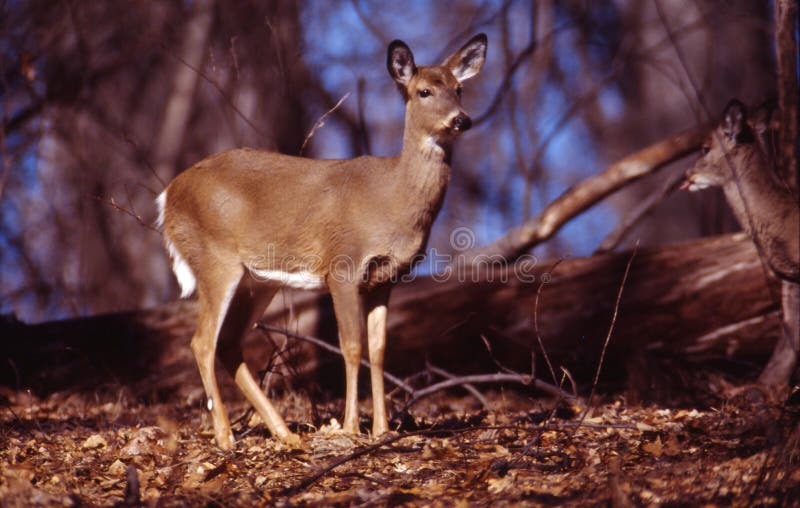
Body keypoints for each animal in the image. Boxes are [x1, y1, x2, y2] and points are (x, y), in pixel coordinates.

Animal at [156, 34, 487, 449]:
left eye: (459, 89)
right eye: (423, 91)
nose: (462, 119)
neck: (392, 198)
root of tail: (167, 196)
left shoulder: (386, 279)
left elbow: (379, 349)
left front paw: (381, 428)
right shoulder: (342, 264)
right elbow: (351, 346)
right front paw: (350, 427)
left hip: (257, 280)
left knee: (229, 343)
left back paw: (284, 433)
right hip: (215, 259)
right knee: (202, 342)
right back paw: (226, 436)